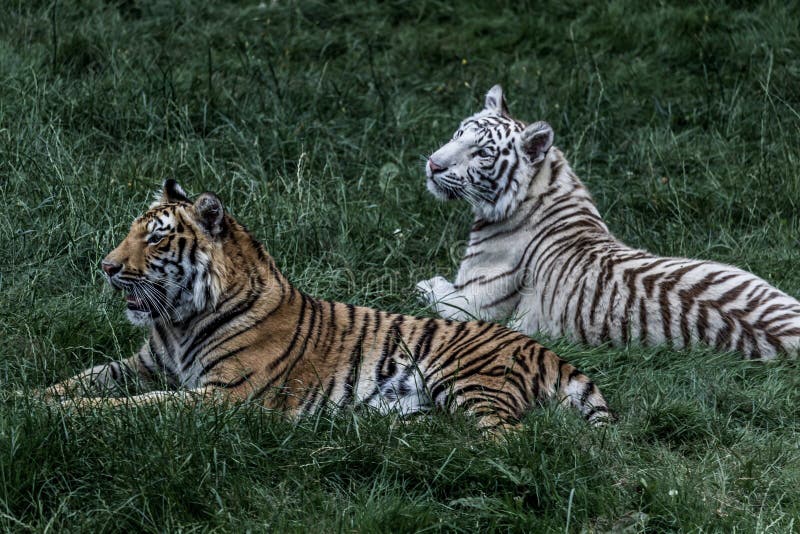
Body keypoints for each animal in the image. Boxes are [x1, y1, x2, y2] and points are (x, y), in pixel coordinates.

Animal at [39, 179, 613, 431]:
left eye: (156, 238)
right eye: (132, 232)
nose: (106, 266)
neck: (180, 322)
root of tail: (542, 349)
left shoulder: (222, 396)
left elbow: (133, 406)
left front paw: (60, 415)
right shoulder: (143, 364)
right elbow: (81, 379)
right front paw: (30, 398)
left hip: (466, 380)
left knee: (506, 438)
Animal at [417, 84, 800, 360]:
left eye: (482, 153)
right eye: (459, 133)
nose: (433, 164)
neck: (542, 187)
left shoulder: (473, 308)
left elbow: (435, 294)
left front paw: (425, 283)